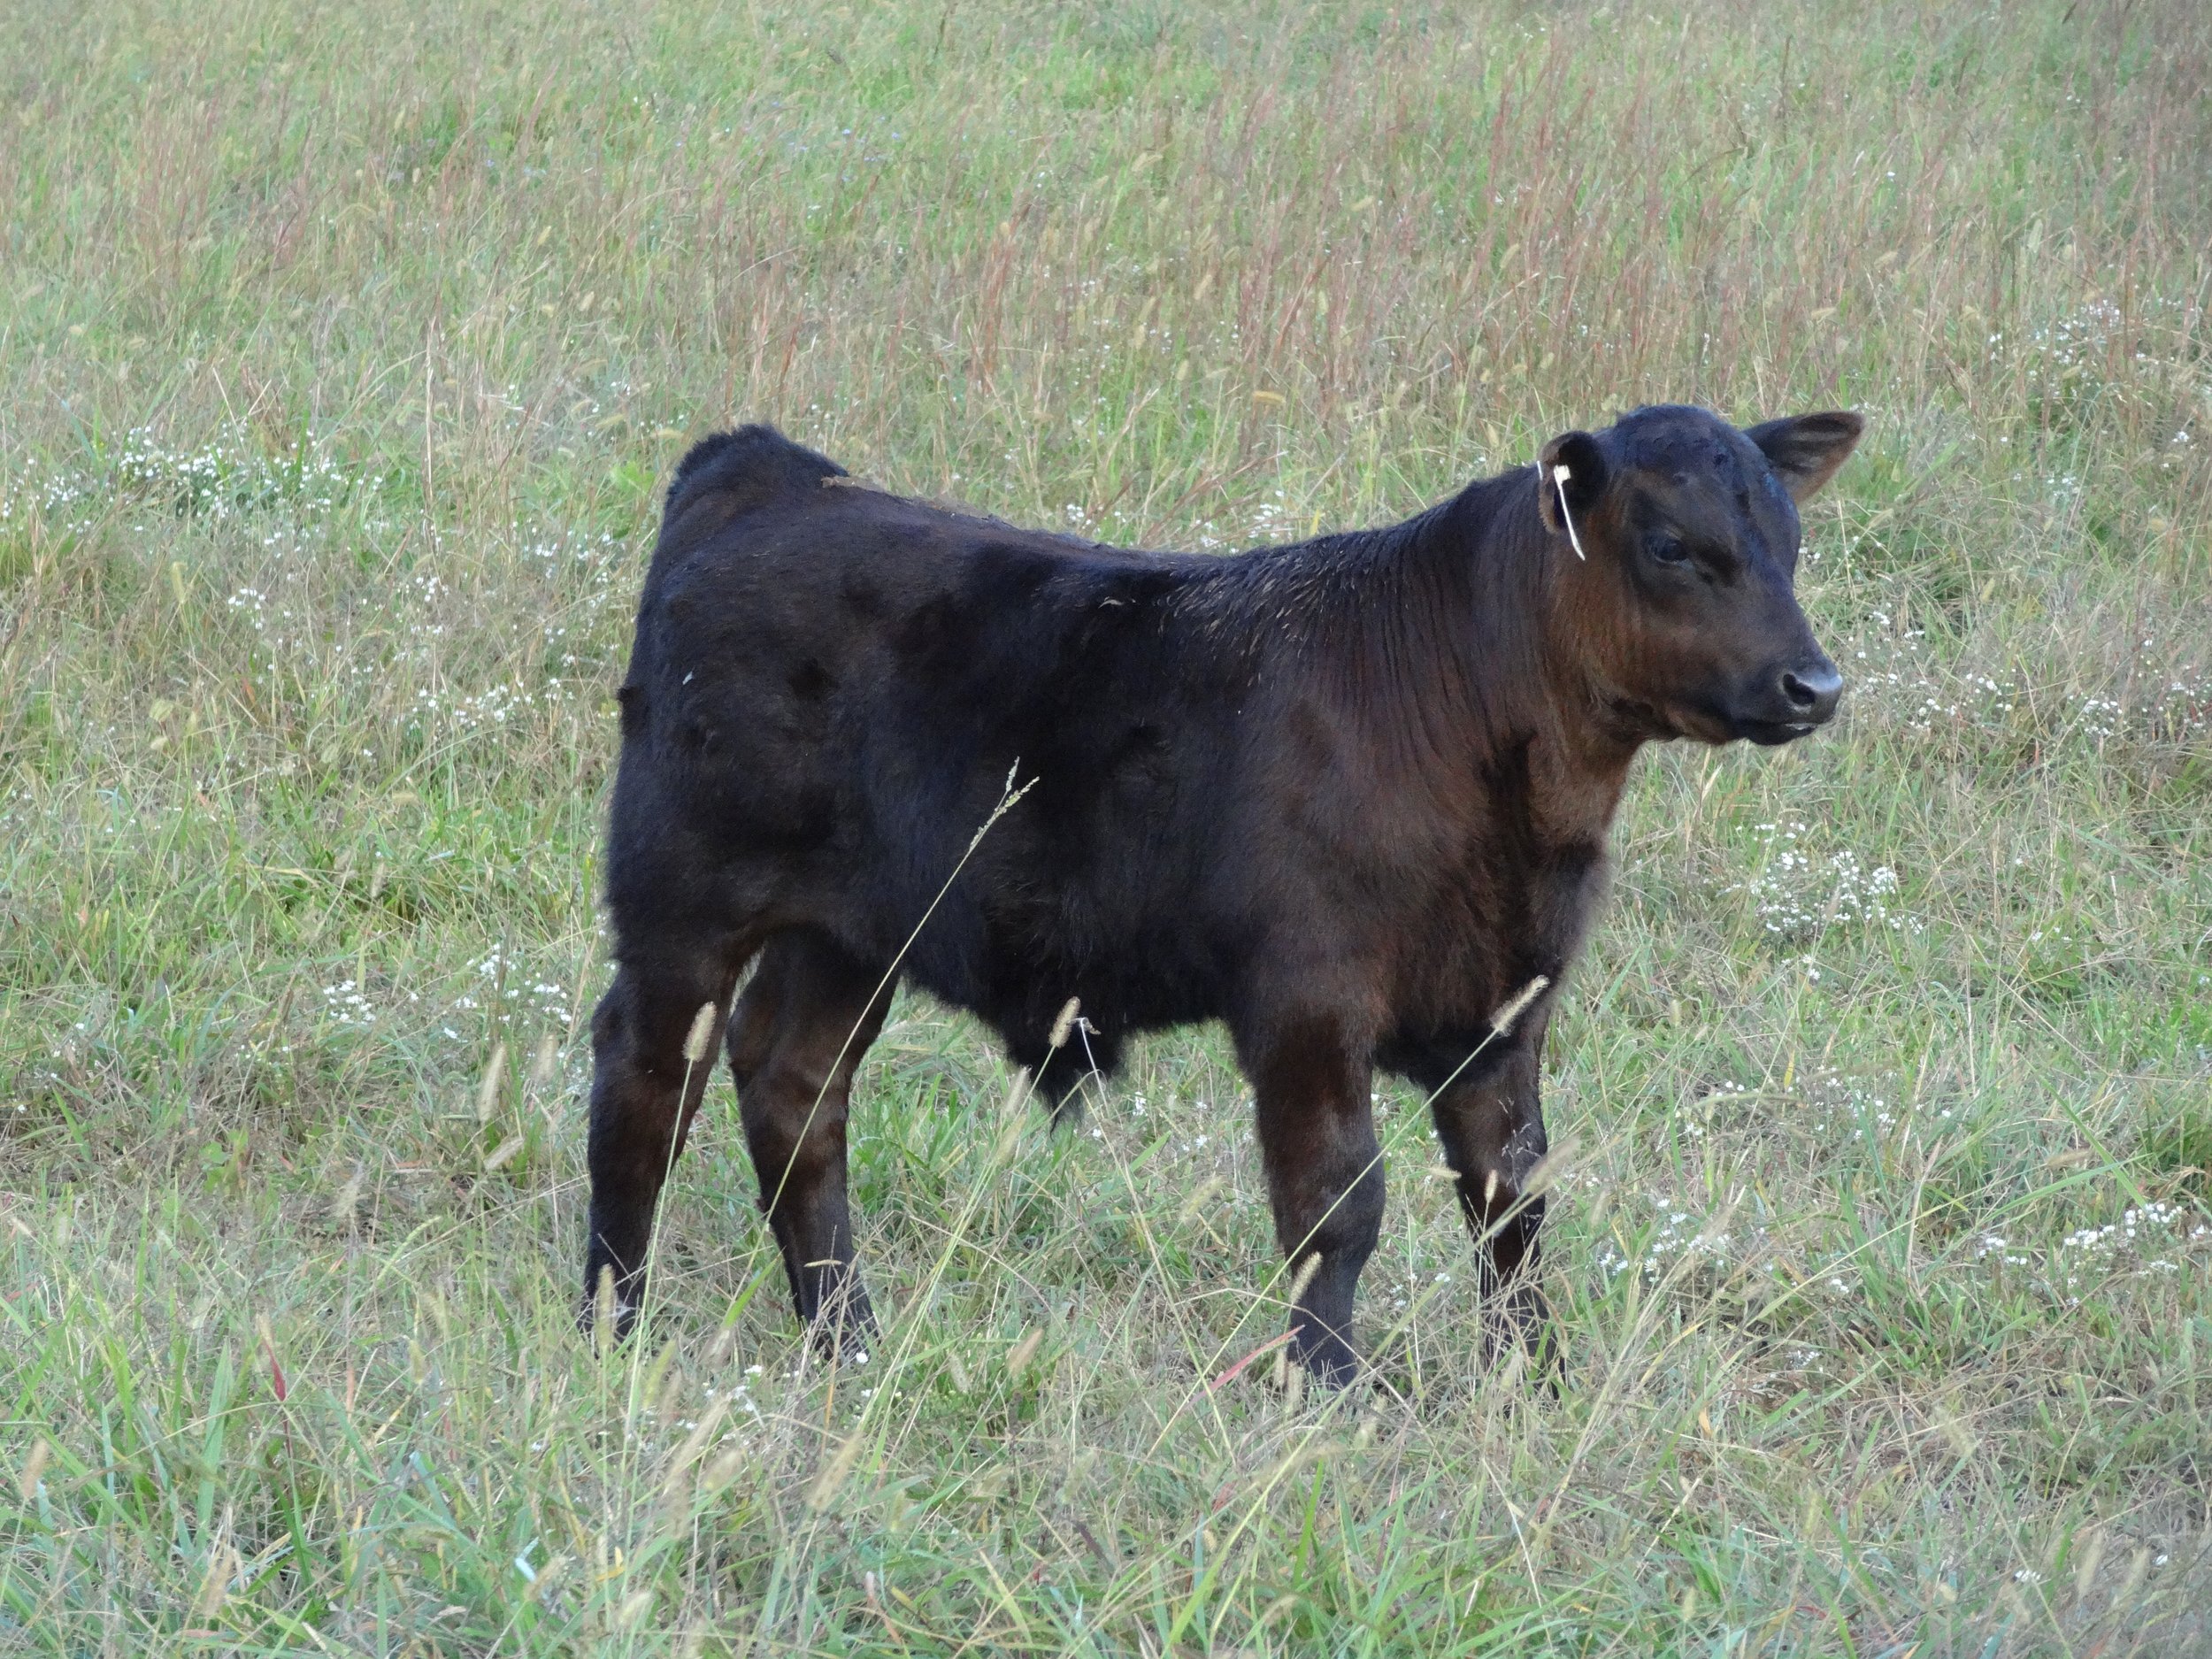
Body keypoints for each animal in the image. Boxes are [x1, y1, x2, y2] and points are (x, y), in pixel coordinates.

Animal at [581, 403, 1862, 1386]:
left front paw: (1533, 1384)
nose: (1815, 683)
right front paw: (1330, 1393)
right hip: (682, 902)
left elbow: (1511, 1201)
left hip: (849, 933)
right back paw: (614, 1325)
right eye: (1672, 544)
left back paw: (846, 1340)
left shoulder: (1505, 1003)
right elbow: (1336, 1205)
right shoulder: (1307, 999)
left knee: (795, 1087)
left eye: (1790, 539)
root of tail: (773, 477)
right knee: (647, 1082)